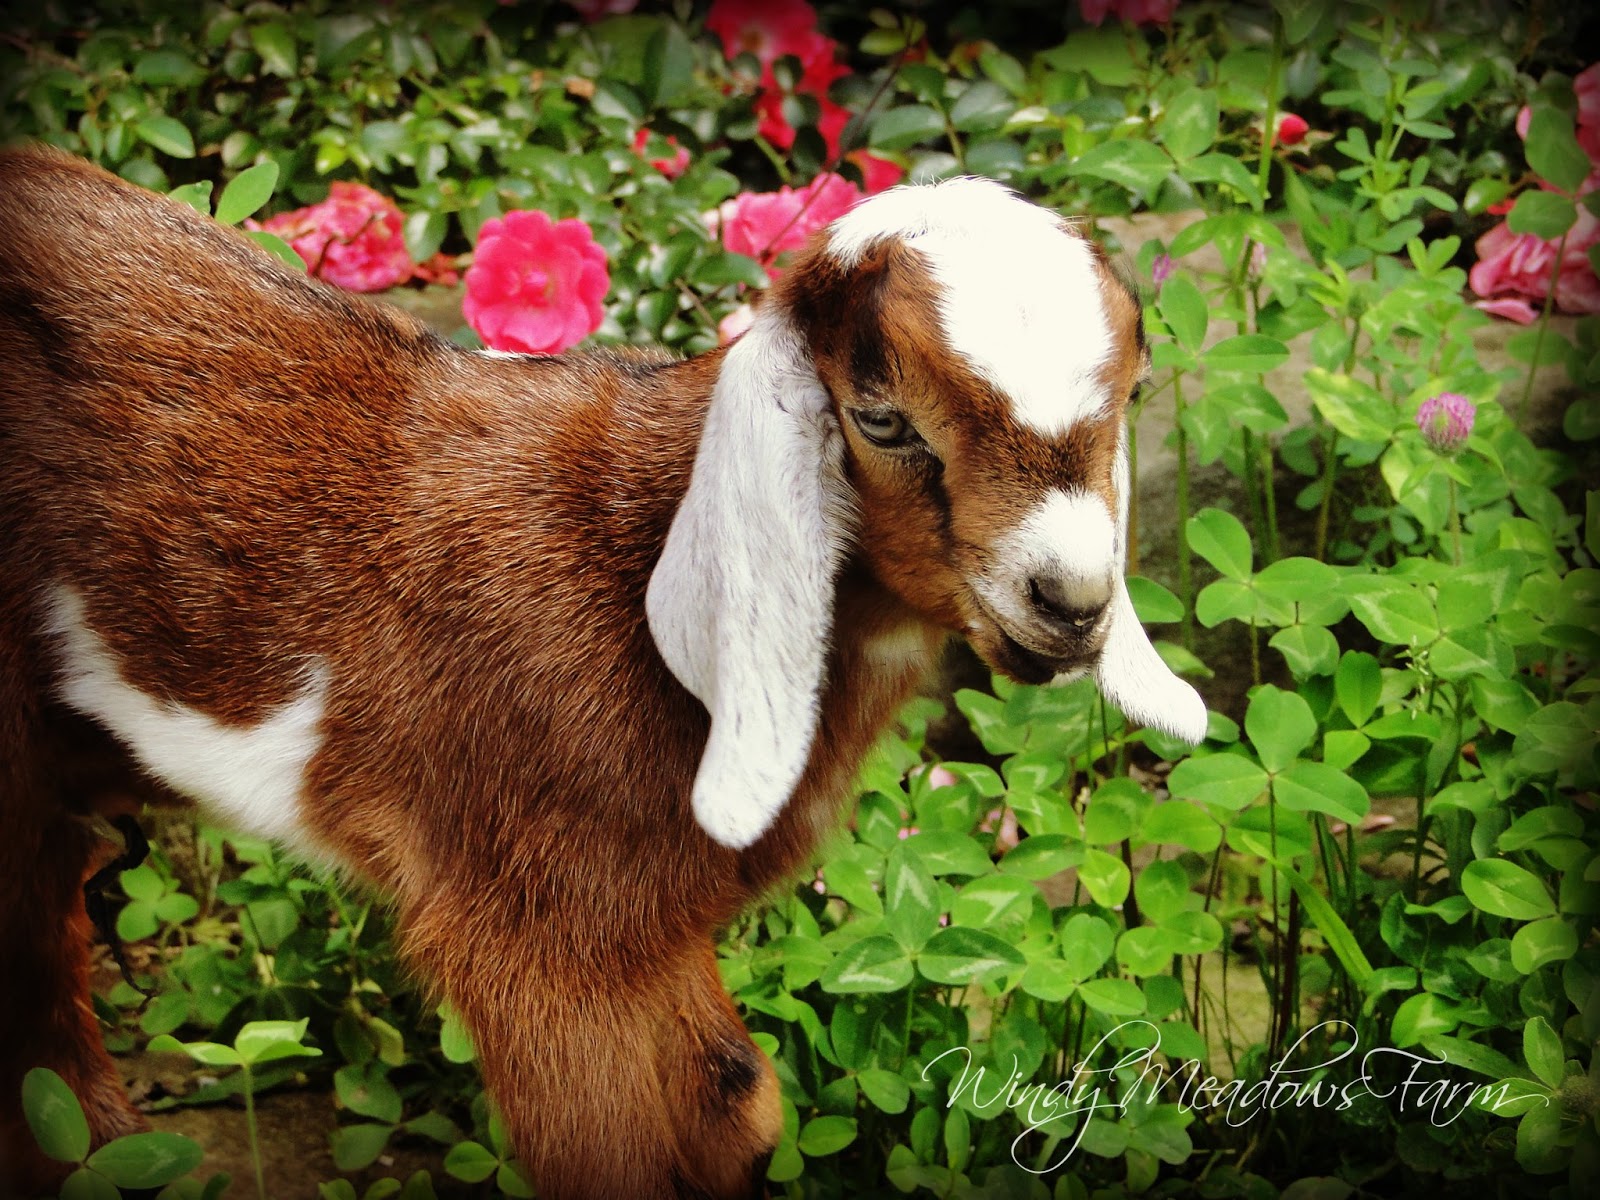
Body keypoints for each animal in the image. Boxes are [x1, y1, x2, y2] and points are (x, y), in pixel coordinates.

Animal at [0, 145, 1206, 1199]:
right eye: (880, 416)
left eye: (1133, 394)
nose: (1071, 603)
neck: (629, 548)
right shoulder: (541, 929)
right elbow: (620, 1152)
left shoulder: (649, 932)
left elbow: (734, 1106)